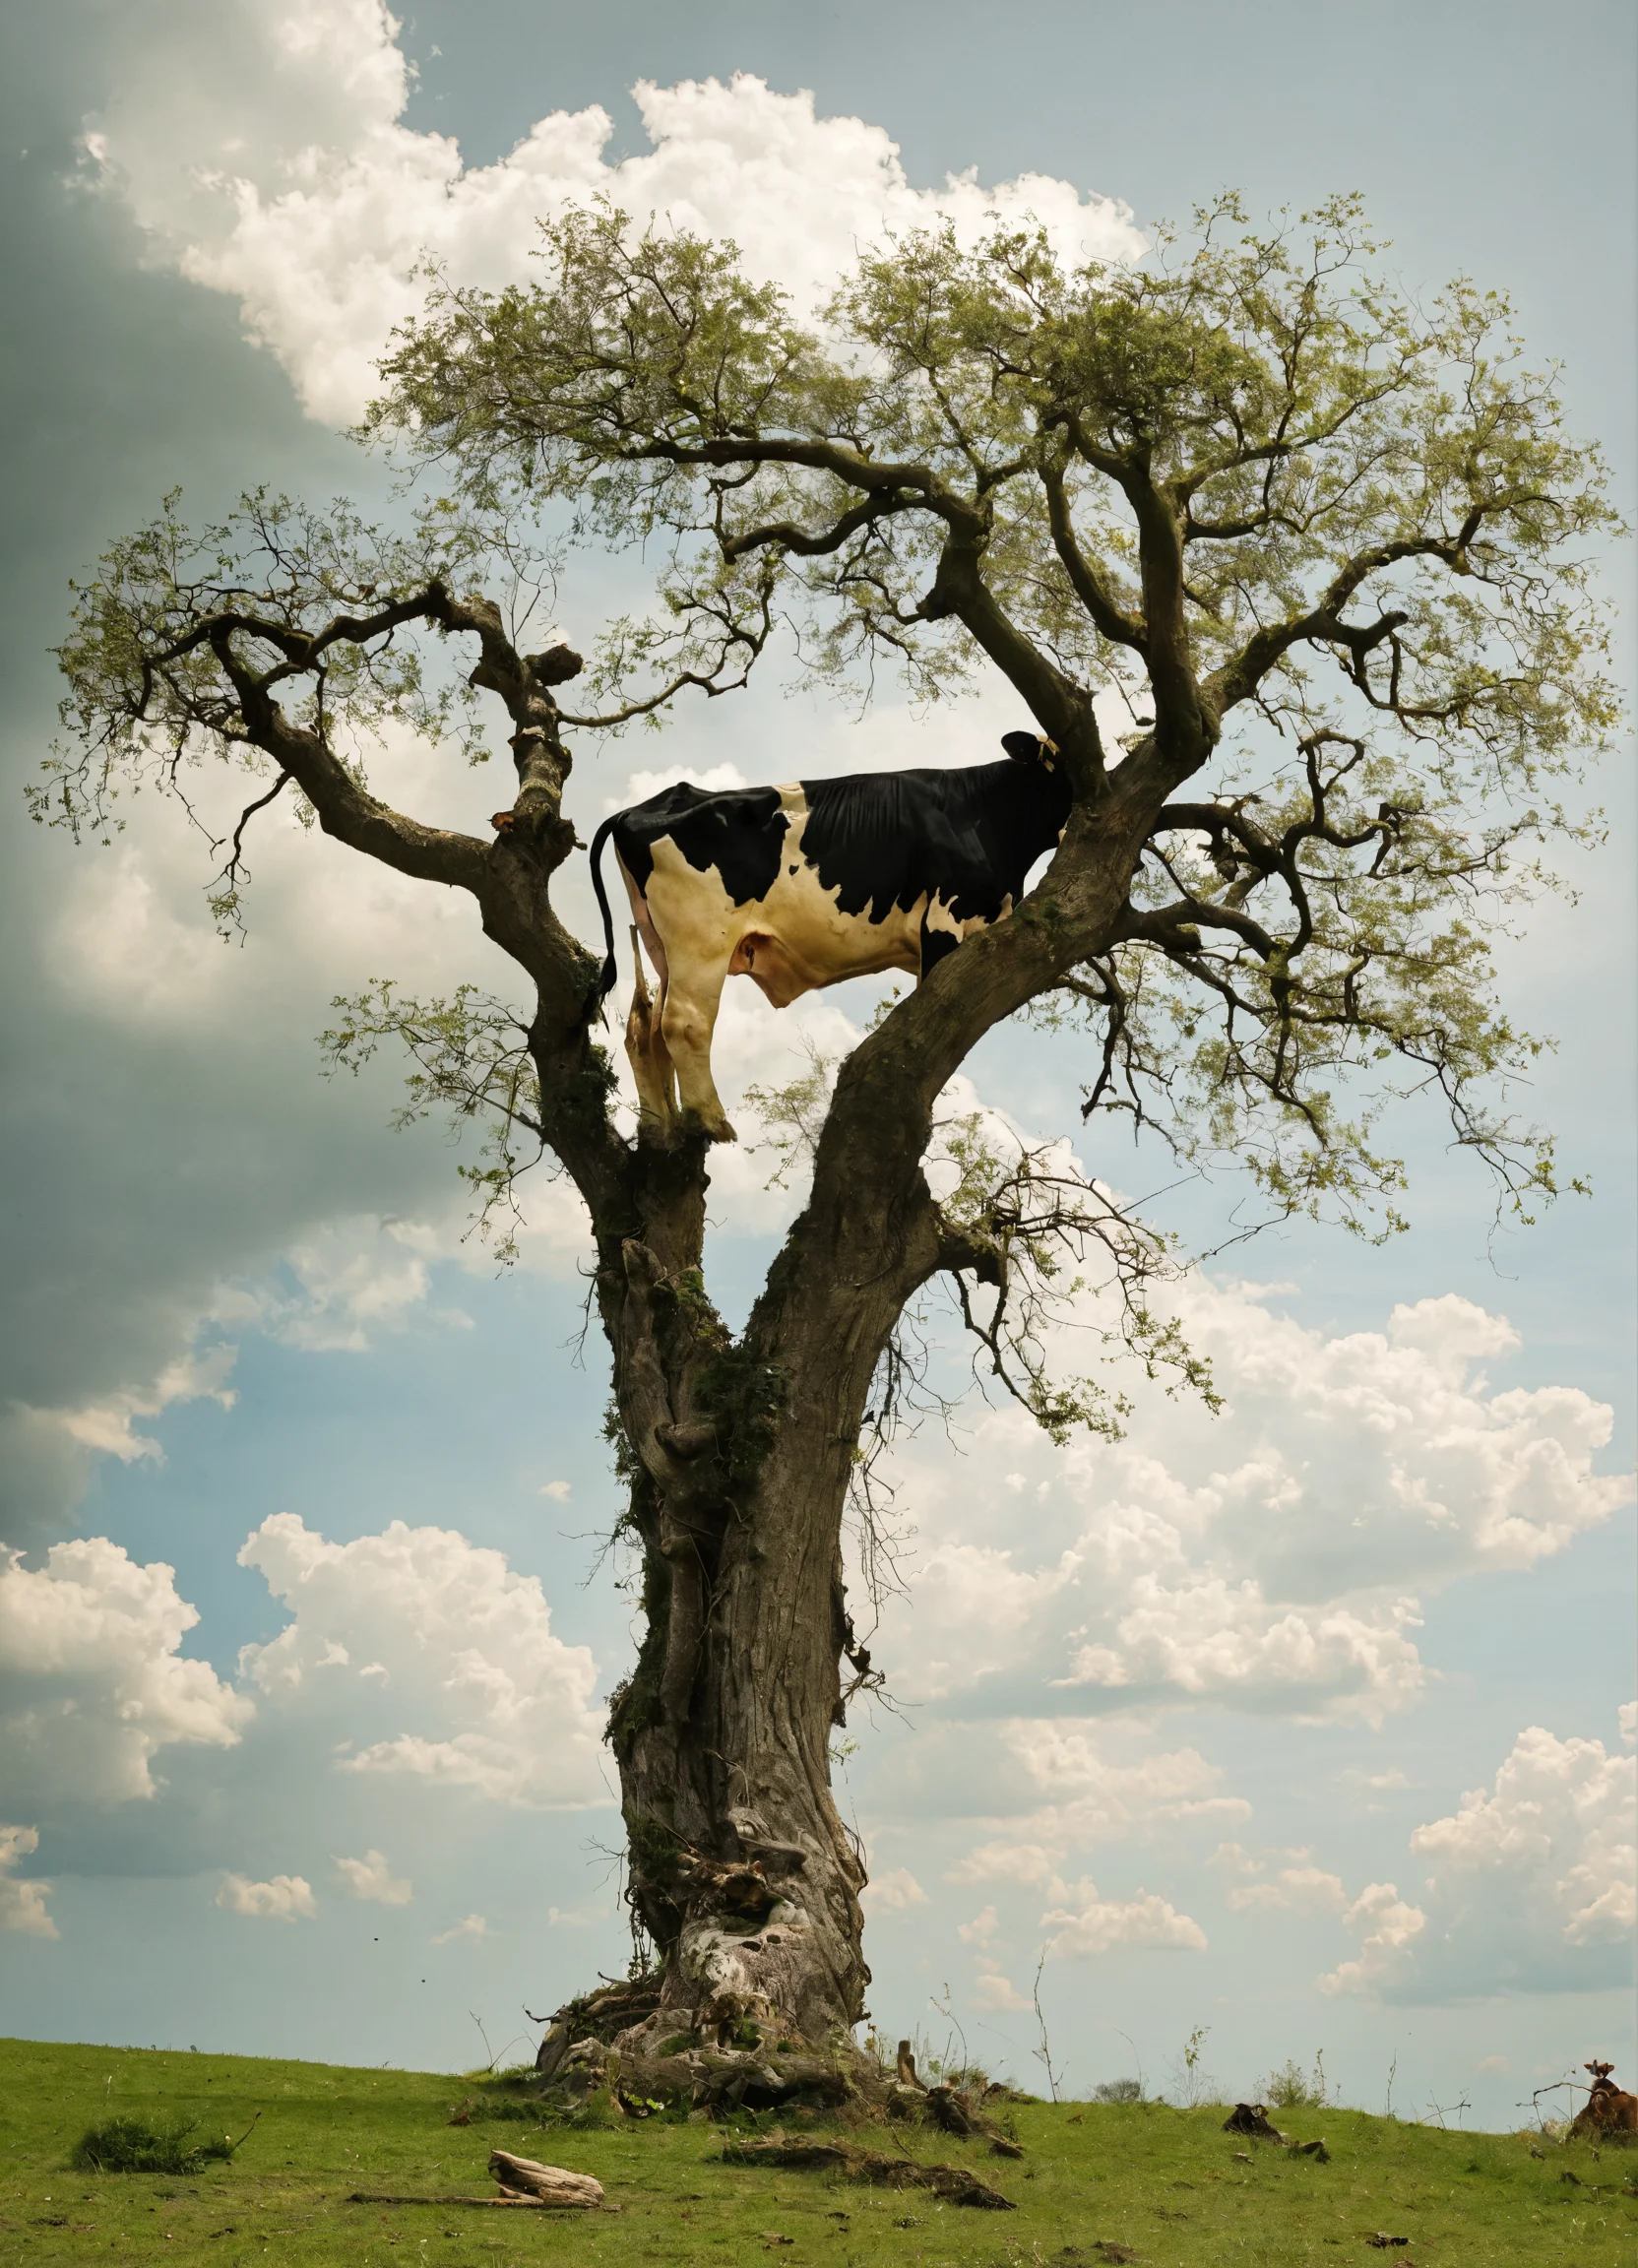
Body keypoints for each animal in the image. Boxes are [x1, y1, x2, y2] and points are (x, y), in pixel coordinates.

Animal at [588, 733, 1072, 1140]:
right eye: (1064, 767)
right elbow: (934, 1018)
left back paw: (664, 1127)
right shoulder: (942, 919)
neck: (979, 815)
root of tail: (640, 806)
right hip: (702, 940)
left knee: (647, 1028)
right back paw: (709, 1120)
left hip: (659, 943)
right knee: (684, 1022)